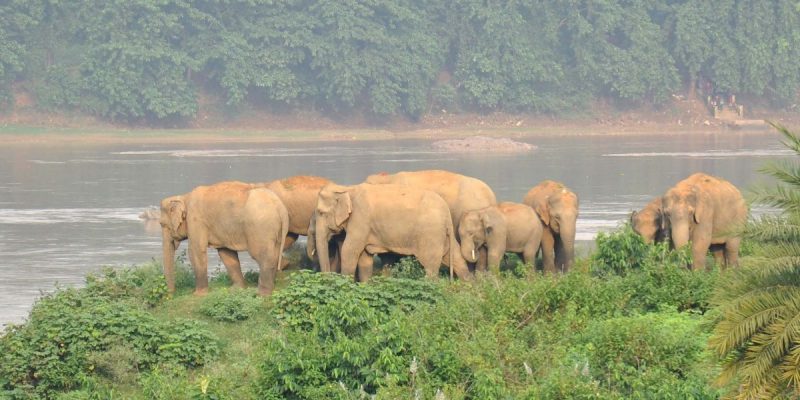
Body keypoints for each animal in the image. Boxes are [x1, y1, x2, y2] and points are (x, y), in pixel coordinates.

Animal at [160, 181, 289, 296]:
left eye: (162, 224)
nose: (172, 294)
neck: (184, 197)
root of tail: (281, 208)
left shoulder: (196, 220)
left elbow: (196, 250)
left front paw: (198, 294)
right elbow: (226, 253)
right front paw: (236, 289)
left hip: (260, 227)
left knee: (262, 255)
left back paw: (263, 294)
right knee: (274, 253)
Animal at [313, 182, 471, 281]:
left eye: (321, 212)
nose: (327, 278)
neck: (347, 188)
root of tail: (447, 214)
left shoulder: (361, 219)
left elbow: (349, 250)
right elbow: (365, 257)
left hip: (430, 234)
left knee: (430, 267)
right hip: (442, 235)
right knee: (457, 260)